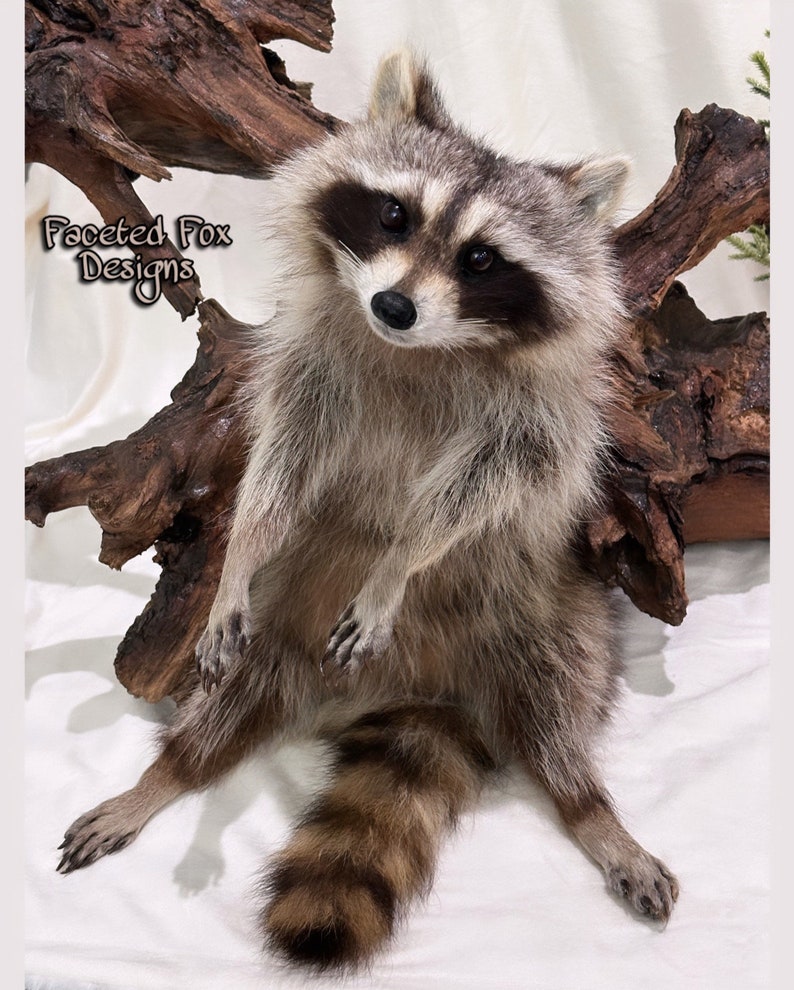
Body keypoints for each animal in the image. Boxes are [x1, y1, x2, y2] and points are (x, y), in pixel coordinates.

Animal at [56, 50, 678, 970]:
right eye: (393, 213)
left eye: (482, 259)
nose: (393, 306)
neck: (420, 349)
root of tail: (415, 691)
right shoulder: (305, 367)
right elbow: (277, 467)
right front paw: (243, 548)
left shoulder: (539, 420)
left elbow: (486, 488)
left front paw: (400, 558)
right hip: (280, 627)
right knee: (221, 709)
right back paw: (164, 776)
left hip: (556, 616)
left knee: (555, 714)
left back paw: (591, 811)